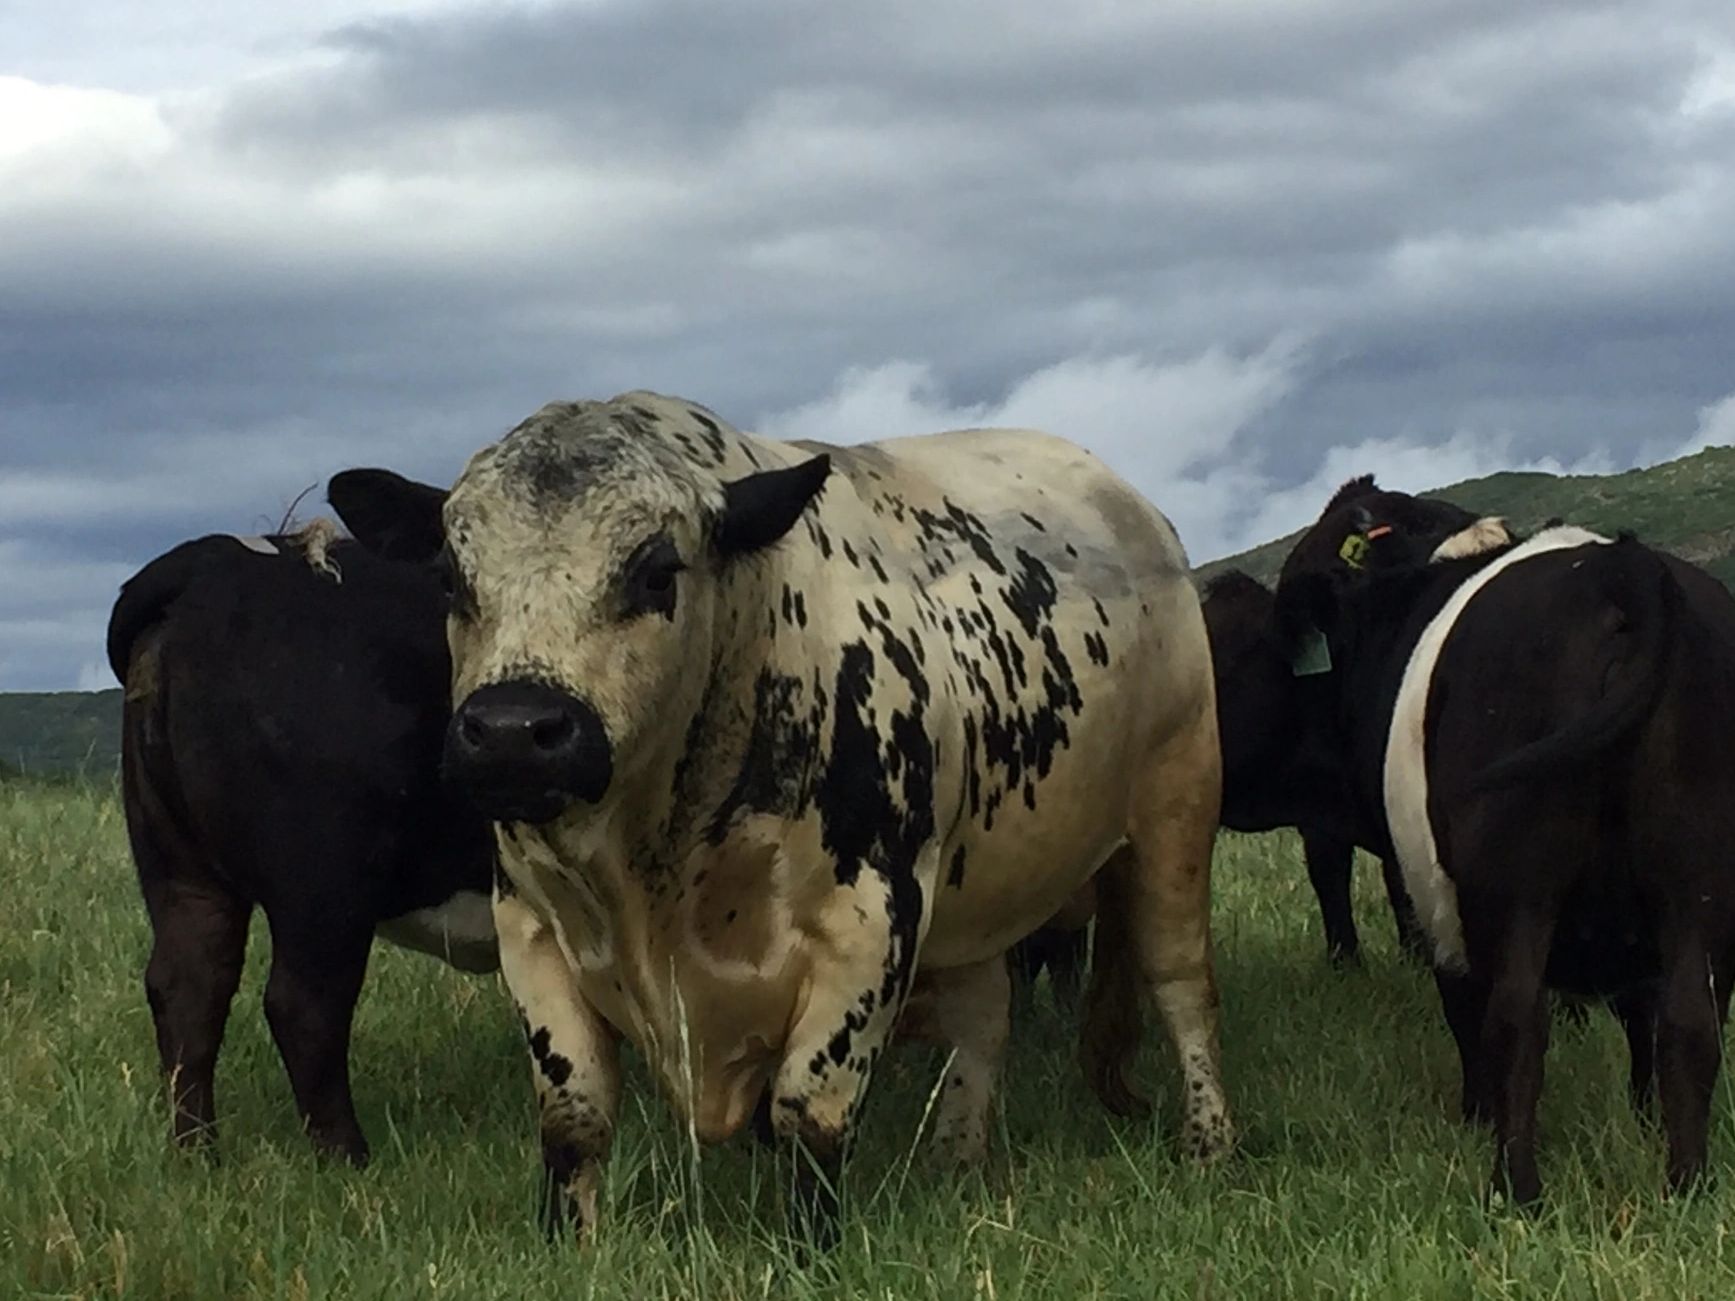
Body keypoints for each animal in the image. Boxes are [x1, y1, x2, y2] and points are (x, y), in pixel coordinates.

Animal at [105, 522, 498, 1166]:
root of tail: (219, 557)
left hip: (177, 863)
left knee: (188, 987)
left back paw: (198, 1153)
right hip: (323, 884)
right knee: (303, 1006)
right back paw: (347, 1155)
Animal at [328, 389, 1235, 1246]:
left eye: (656, 571)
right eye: (450, 577)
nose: (515, 730)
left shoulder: (872, 920)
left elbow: (809, 1110)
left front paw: (809, 1246)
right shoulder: (532, 930)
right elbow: (573, 1117)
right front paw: (569, 1246)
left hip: (1175, 806)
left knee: (1181, 982)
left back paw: (1208, 1142)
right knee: (984, 1017)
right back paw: (955, 1160)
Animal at [1268, 480, 1735, 1205]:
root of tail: (1619, 569)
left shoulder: (1428, 887)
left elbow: (1463, 1001)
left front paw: (1476, 1112)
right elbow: (1643, 1012)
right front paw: (1641, 1114)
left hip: (1519, 878)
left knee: (1517, 1018)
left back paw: (1516, 1189)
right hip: (1699, 873)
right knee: (1690, 1018)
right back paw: (1686, 1186)